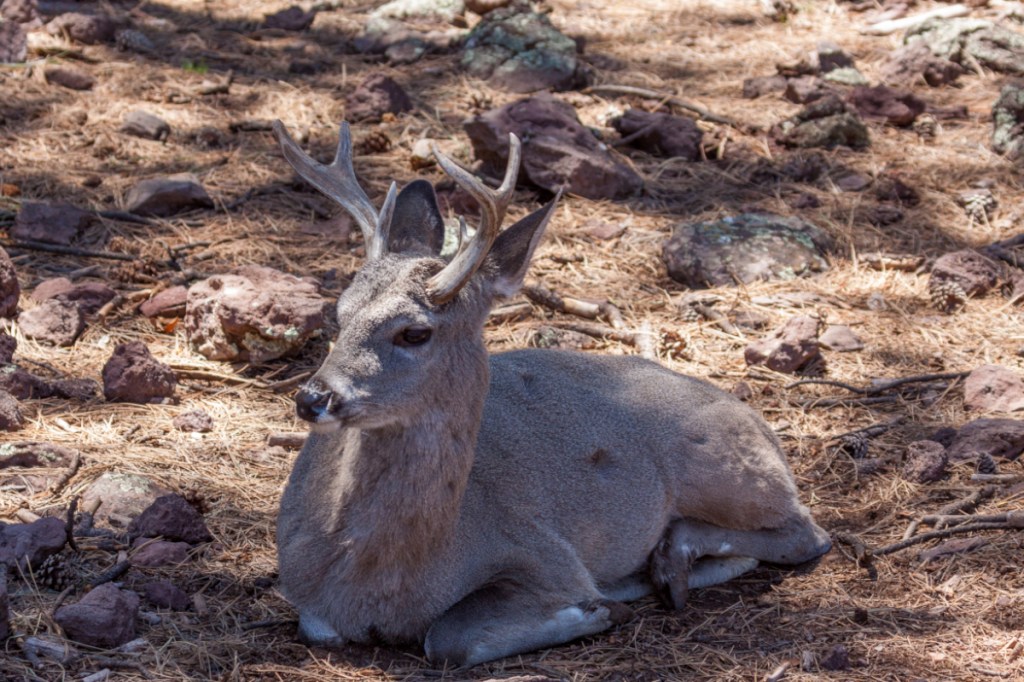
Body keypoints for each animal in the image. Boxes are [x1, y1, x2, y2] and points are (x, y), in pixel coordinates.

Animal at [272, 120, 833, 668]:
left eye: (415, 332)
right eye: (339, 312)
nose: (313, 398)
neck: (381, 581)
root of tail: (761, 425)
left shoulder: (546, 555)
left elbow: (447, 639)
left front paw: (597, 610)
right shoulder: (306, 598)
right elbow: (322, 629)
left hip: (726, 470)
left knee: (809, 533)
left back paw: (665, 564)